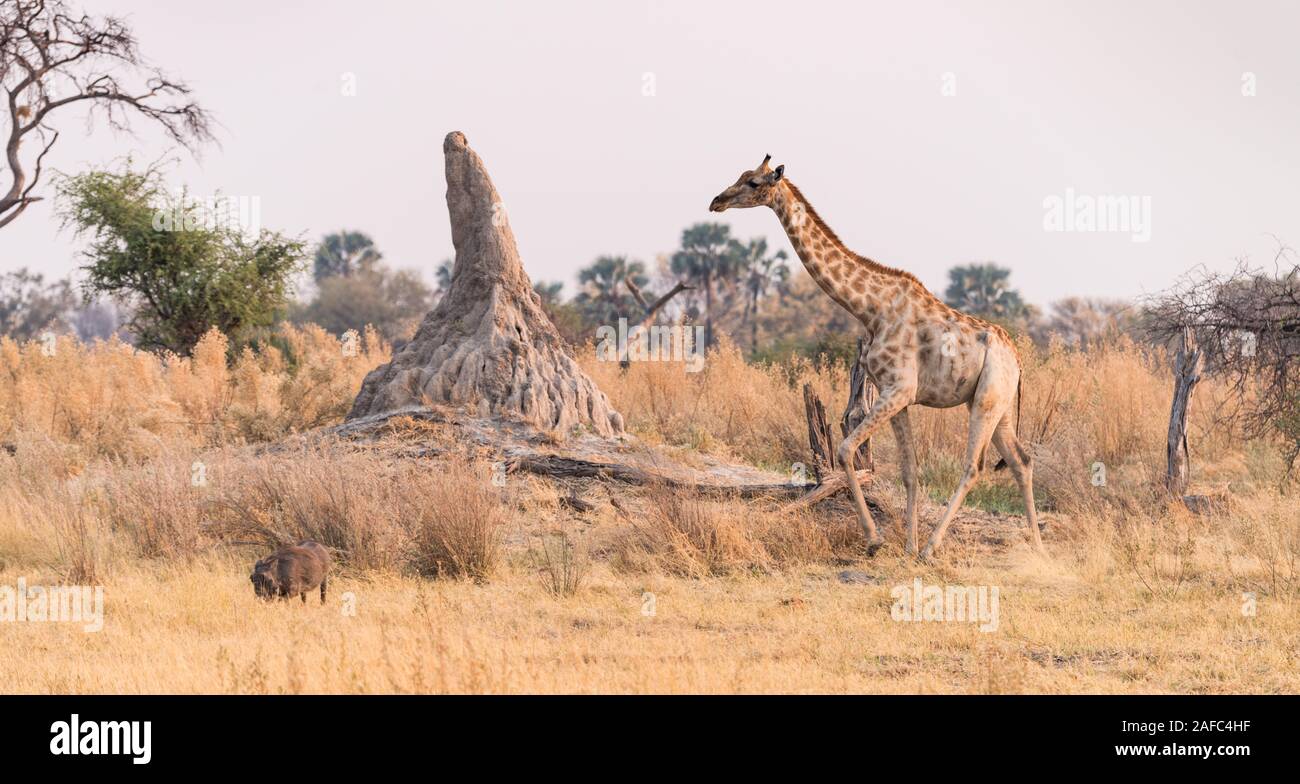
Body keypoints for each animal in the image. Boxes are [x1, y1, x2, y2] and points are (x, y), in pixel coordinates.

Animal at [710, 155, 1044, 561]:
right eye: (742, 176)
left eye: (755, 183)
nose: (716, 201)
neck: (869, 309)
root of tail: (1017, 359)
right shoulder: (896, 395)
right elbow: (909, 469)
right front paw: (906, 547)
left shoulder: (899, 389)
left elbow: (845, 448)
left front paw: (875, 540)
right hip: (999, 403)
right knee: (1021, 461)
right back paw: (1038, 547)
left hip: (987, 400)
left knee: (974, 466)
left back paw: (932, 548)